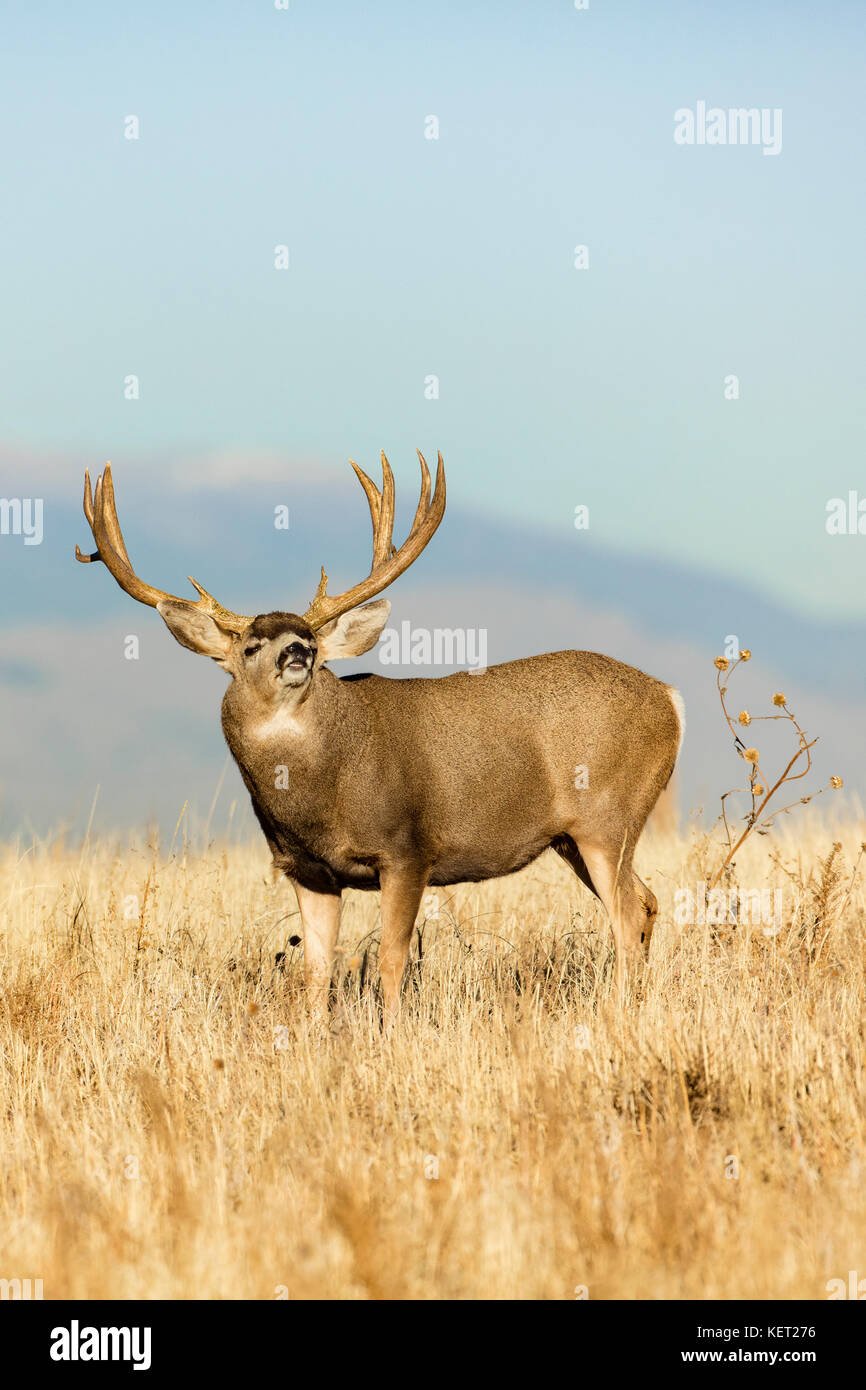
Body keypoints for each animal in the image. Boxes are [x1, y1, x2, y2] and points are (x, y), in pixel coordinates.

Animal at [76, 453, 685, 1017]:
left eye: (309, 636)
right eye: (251, 646)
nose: (298, 650)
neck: (324, 793)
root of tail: (671, 698)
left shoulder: (407, 849)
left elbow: (392, 959)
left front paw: (391, 1034)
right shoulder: (306, 869)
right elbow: (316, 969)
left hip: (607, 817)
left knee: (627, 914)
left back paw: (615, 1012)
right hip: (574, 838)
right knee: (648, 901)